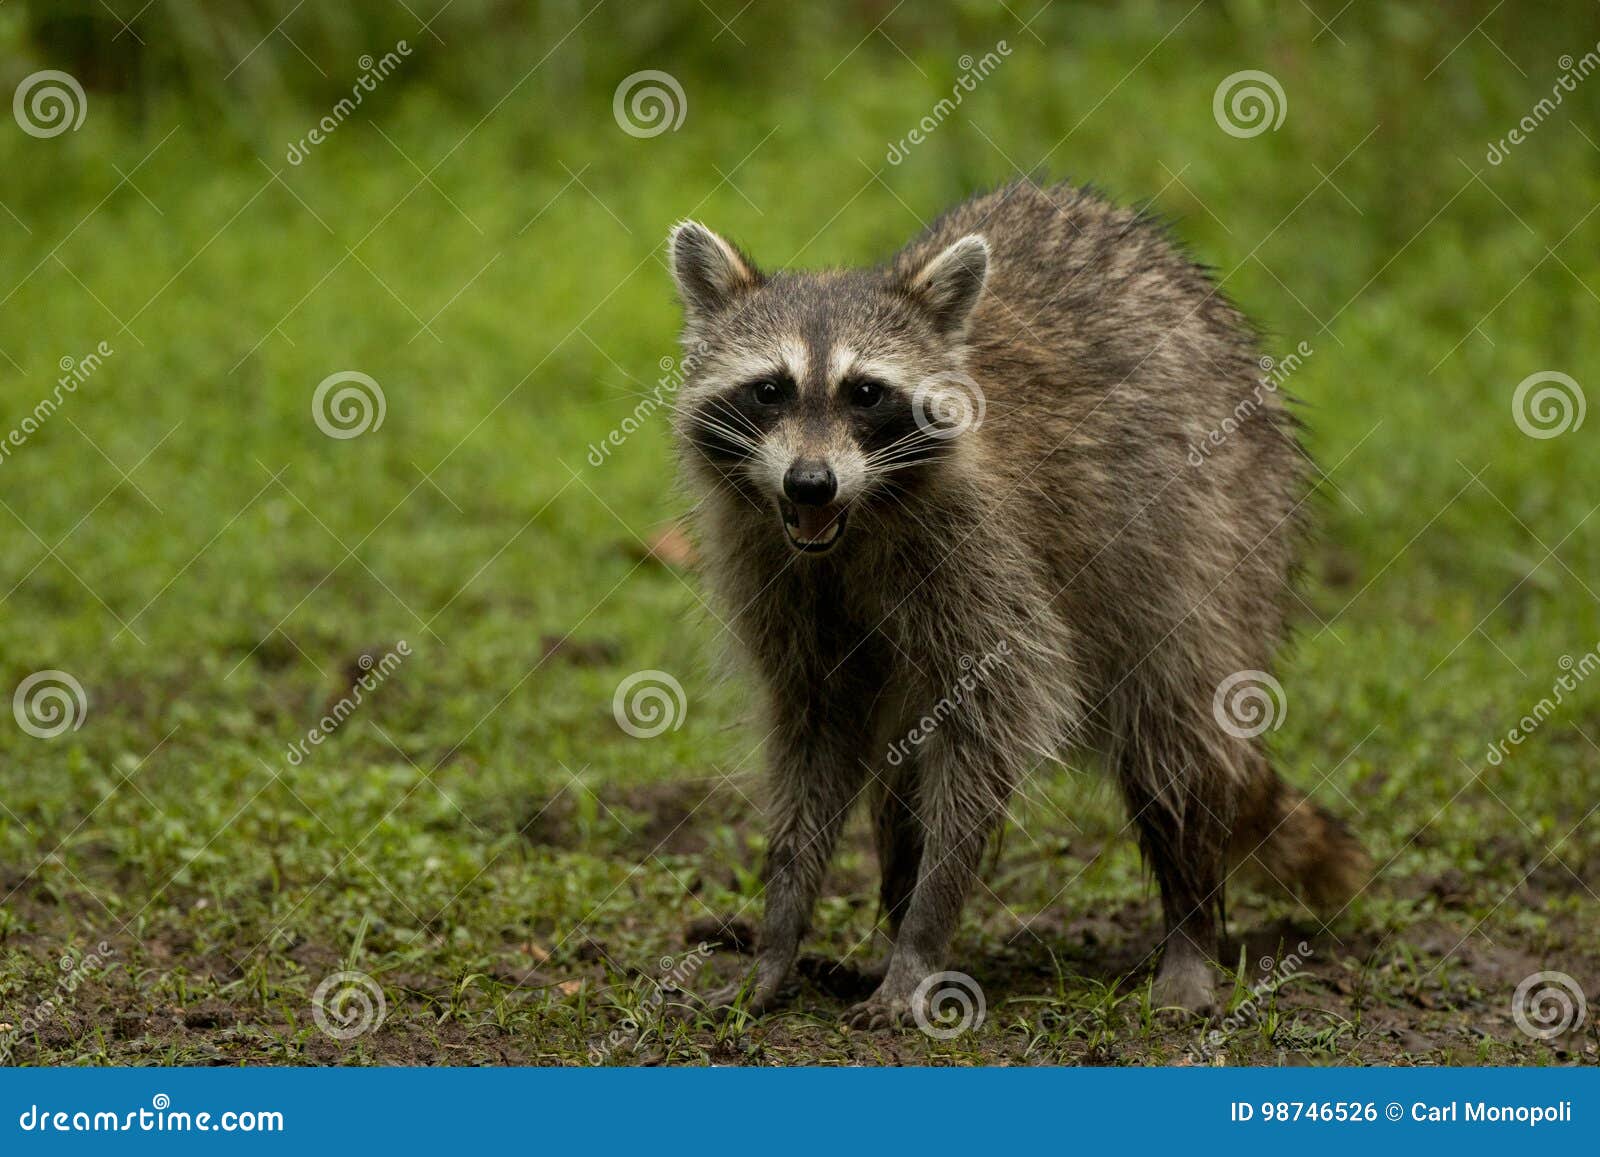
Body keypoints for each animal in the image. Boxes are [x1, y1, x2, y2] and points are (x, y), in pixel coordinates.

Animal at [667, 180, 1368, 1022]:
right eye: (769, 389)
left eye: (865, 393)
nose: (810, 483)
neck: (851, 525)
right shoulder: (775, 572)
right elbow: (814, 740)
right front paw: (782, 928)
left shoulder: (986, 554)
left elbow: (994, 720)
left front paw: (922, 940)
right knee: (901, 780)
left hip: (1220, 535)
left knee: (1176, 731)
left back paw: (1189, 928)